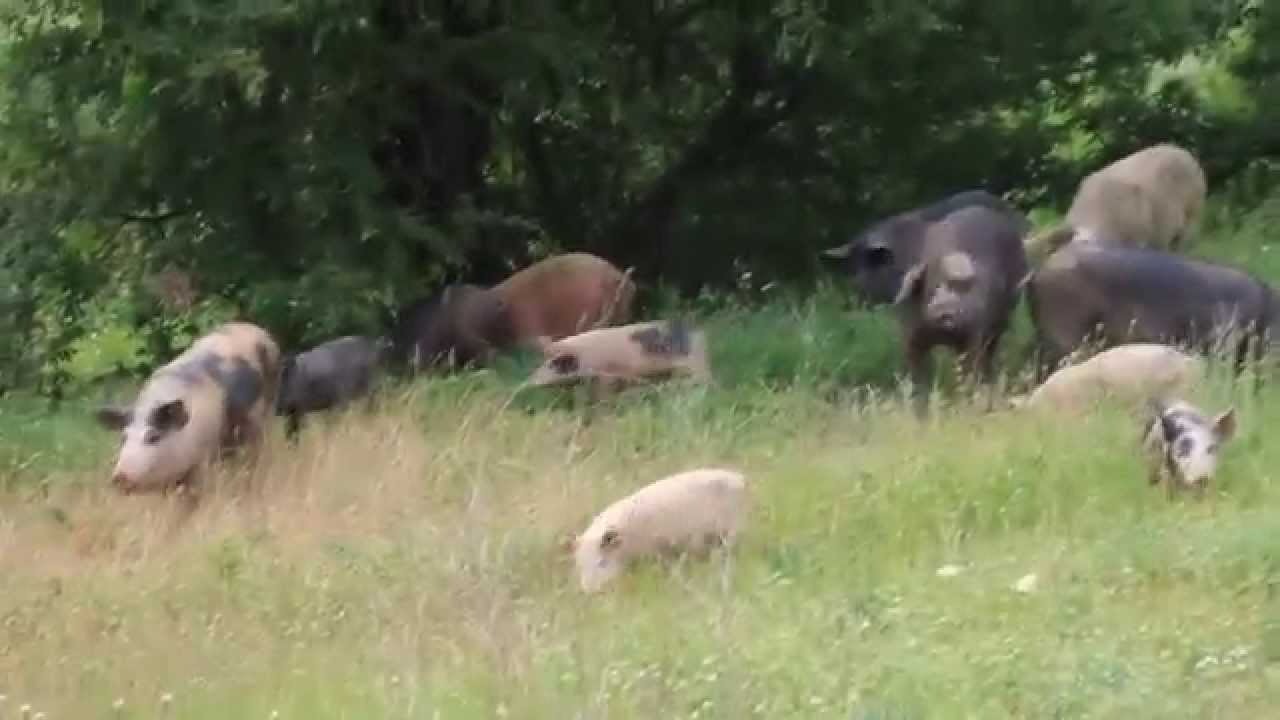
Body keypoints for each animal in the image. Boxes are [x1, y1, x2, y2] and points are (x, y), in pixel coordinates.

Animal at [94, 321, 281, 498]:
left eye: (153, 437)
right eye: (123, 438)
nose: (119, 477)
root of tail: (255, 328)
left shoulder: (203, 460)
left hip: (265, 411)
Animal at [525, 319, 711, 393]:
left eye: (553, 364)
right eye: (543, 362)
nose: (529, 383)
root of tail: (698, 332)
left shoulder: (607, 375)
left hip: (694, 364)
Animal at [890, 205, 1030, 410]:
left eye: (956, 286)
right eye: (931, 288)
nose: (944, 310)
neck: (943, 334)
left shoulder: (973, 335)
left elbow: (969, 368)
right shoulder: (911, 337)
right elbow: (918, 374)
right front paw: (920, 407)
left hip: (1002, 320)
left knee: (988, 353)